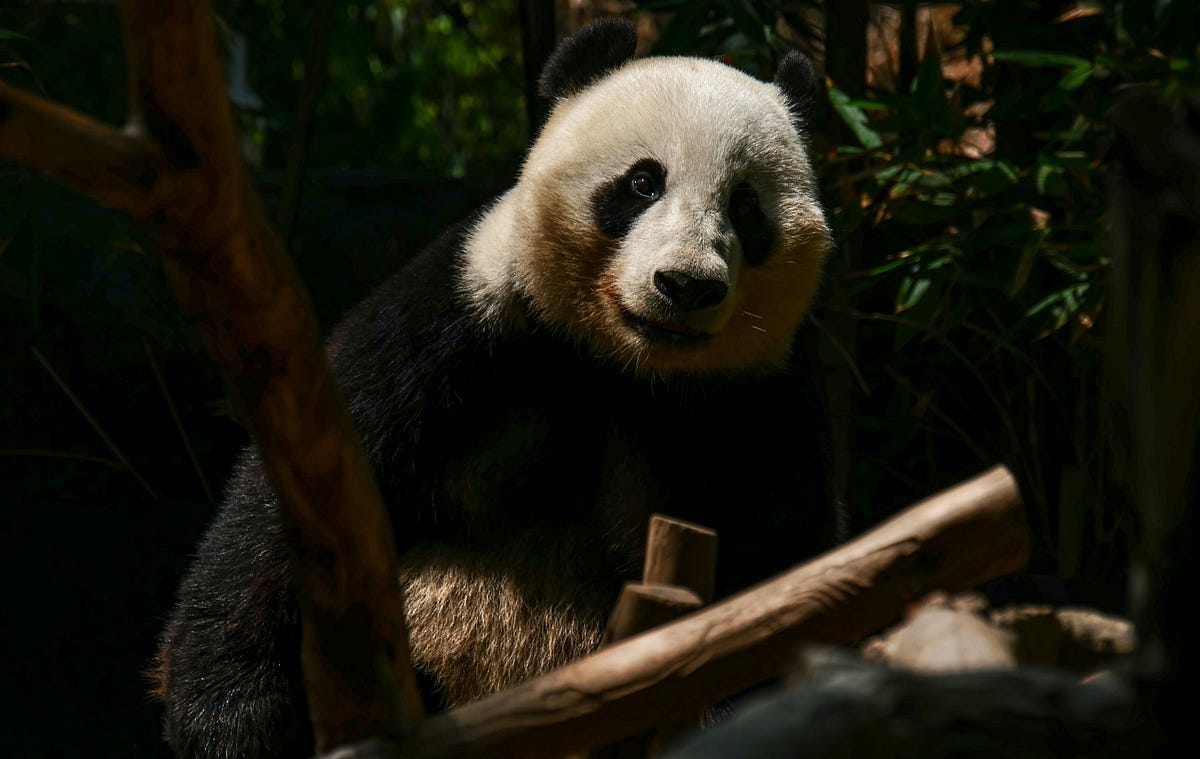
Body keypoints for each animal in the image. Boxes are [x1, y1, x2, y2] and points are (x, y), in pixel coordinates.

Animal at [154, 18, 836, 759]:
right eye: (642, 182)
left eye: (746, 207)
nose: (685, 284)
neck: (624, 363)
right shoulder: (469, 317)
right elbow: (300, 500)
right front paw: (227, 721)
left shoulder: (757, 404)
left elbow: (773, 565)